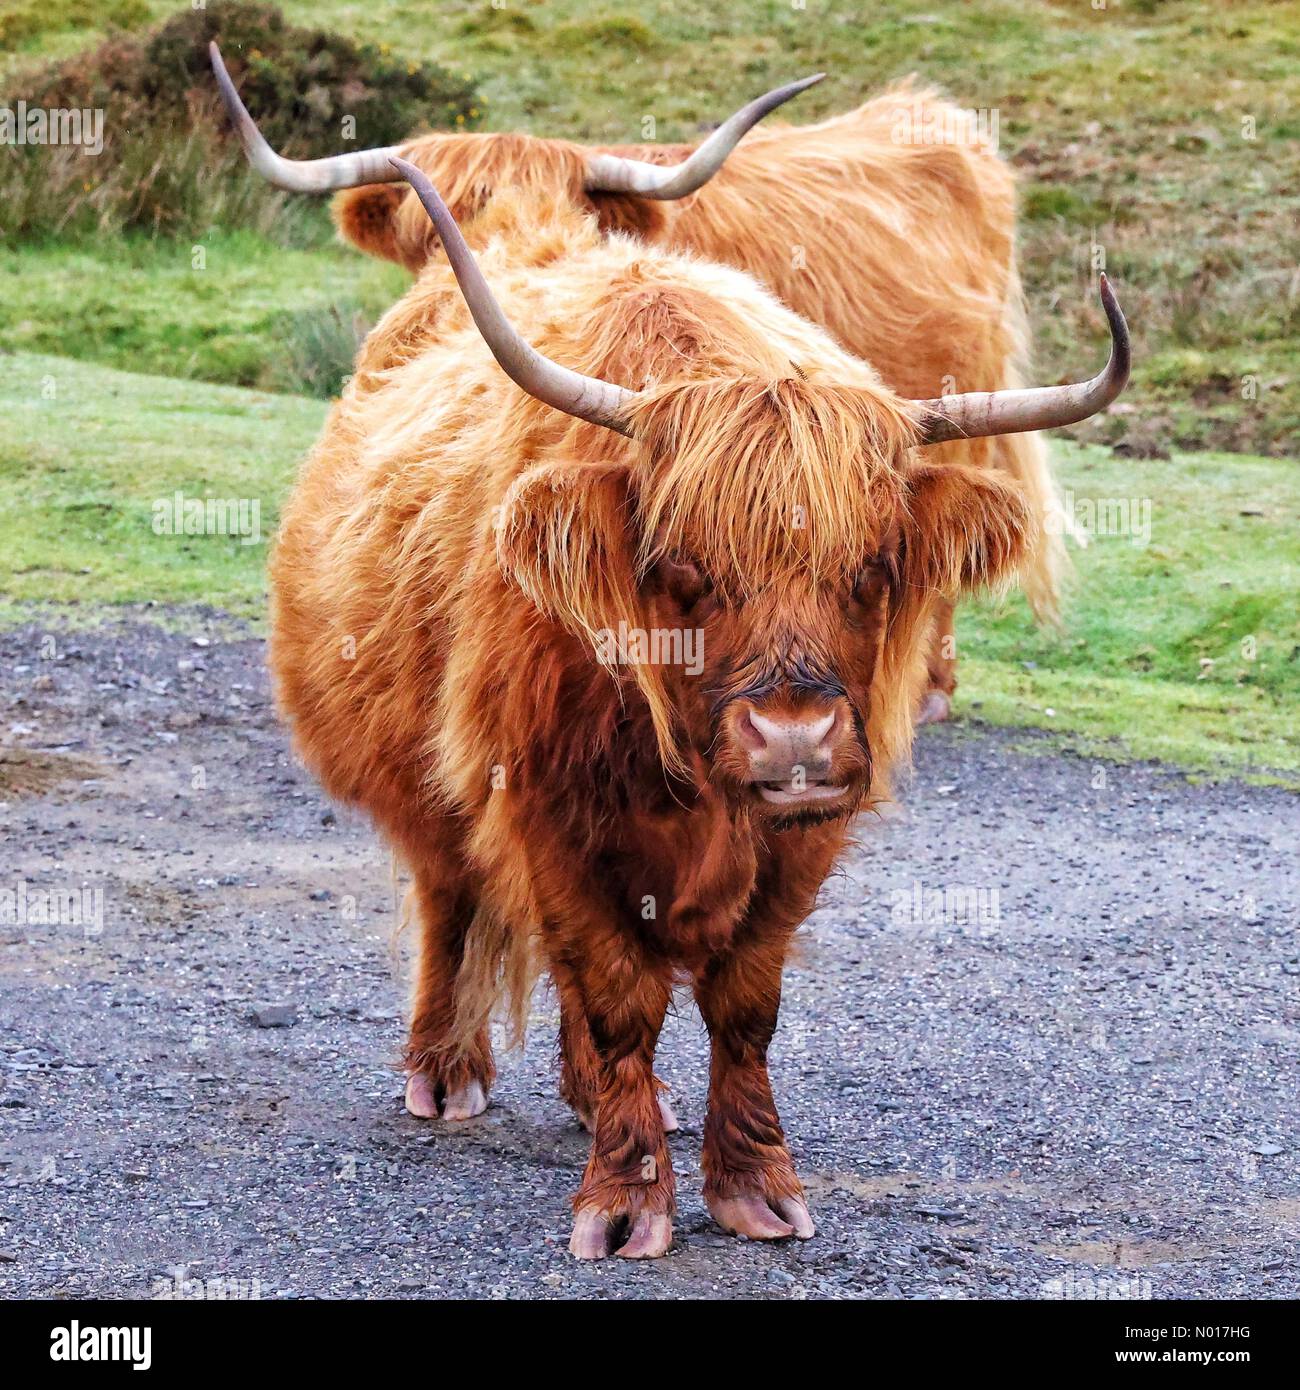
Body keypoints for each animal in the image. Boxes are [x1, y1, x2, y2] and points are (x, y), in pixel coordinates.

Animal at [267, 152, 1129, 1258]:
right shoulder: (545, 809)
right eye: (682, 567)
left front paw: (755, 1183)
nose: (793, 734)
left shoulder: (805, 834)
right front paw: (627, 1200)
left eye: (871, 568)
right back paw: (444, 1072)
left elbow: (742, 1004)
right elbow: (617, 996)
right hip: (422, 780)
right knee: (451, 898)